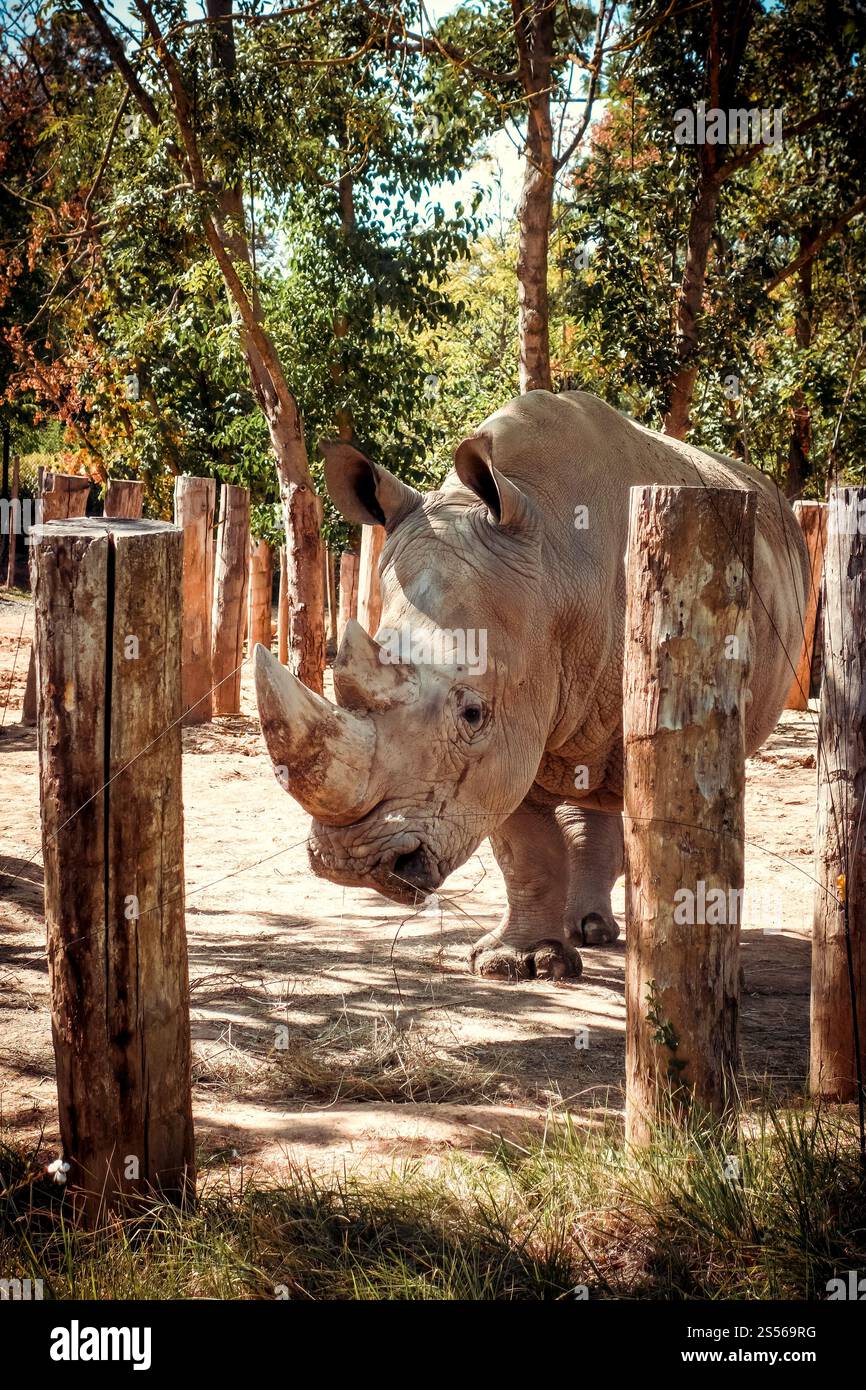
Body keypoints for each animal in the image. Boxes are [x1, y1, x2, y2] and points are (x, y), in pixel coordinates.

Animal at [255, 390, 808, 981]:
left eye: (472, 714)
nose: (351, 862)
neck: (557, 577)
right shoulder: (513, 725)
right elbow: (524, 849)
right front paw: (513, 962)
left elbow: (676, 821)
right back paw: (584, 933)